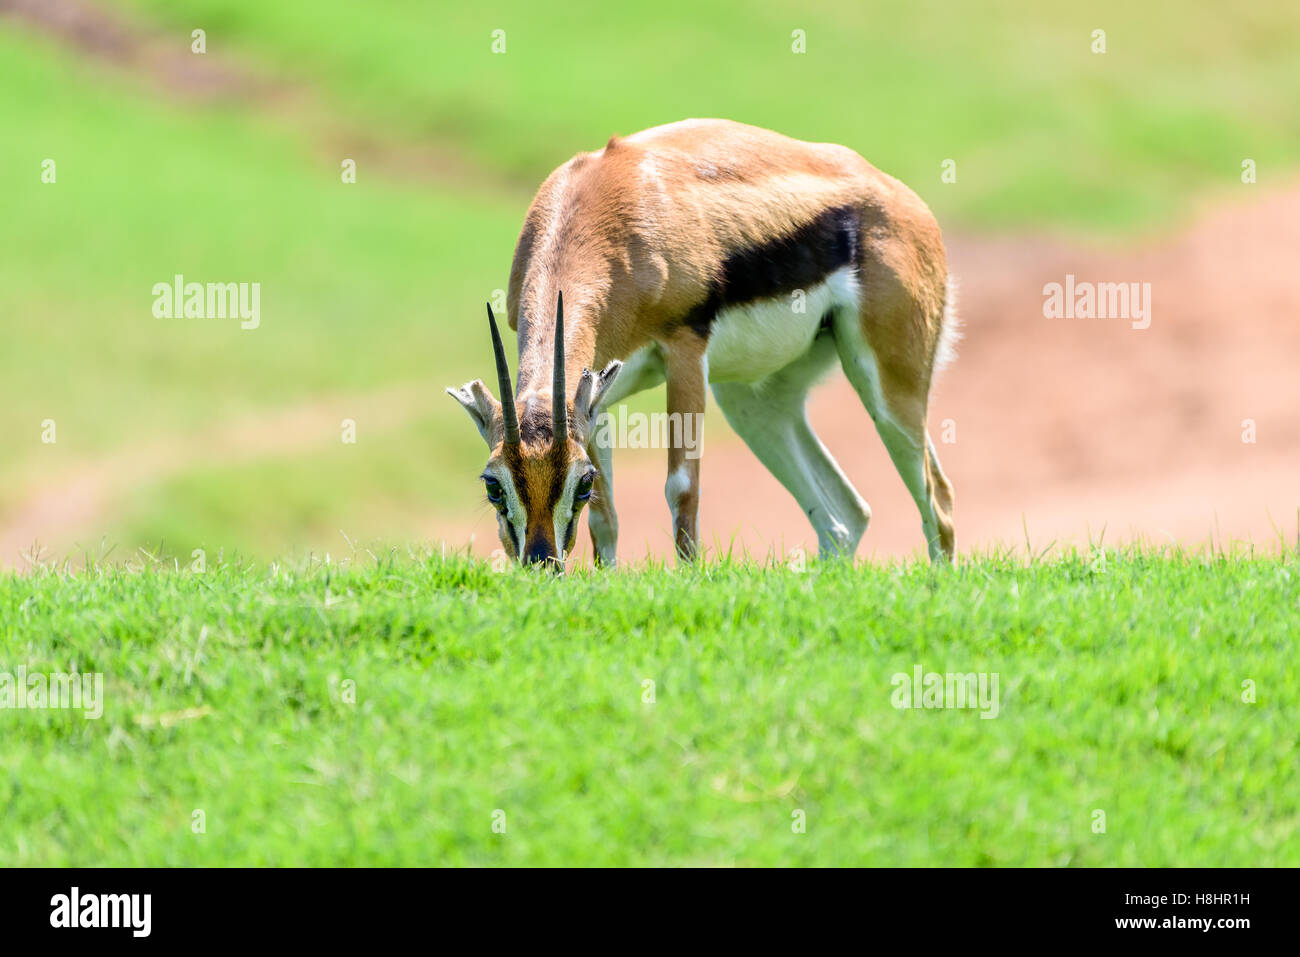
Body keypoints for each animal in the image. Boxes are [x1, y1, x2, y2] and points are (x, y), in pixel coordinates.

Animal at [448, 118, 957, 569]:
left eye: (582, 482)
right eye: (493, 484)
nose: (541, 564)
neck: (597, 210)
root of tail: (905, 199)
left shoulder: (685, 353)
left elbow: (682, 486)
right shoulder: (595, 397)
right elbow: (606, 519)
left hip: (890, 393)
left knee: (940, 500)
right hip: (754, 405)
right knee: (846, 517)